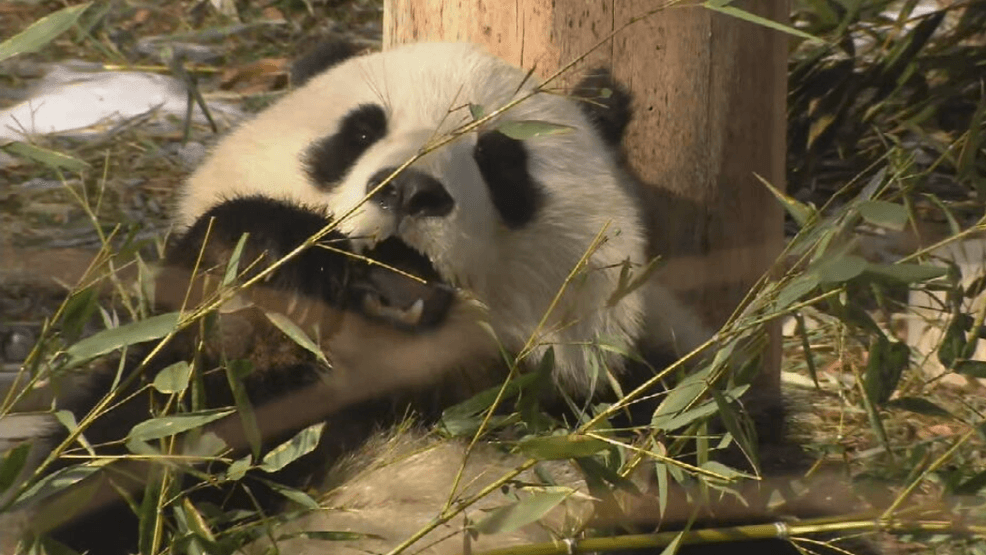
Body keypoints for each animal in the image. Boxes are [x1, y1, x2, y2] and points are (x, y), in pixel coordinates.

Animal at [1, 42, 872, 555]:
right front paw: (262, 274)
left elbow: (753, 511)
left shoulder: (656, 406)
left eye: (502, 157)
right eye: (357, 132)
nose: (409, 187)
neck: (418, 386)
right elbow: (115, 473)